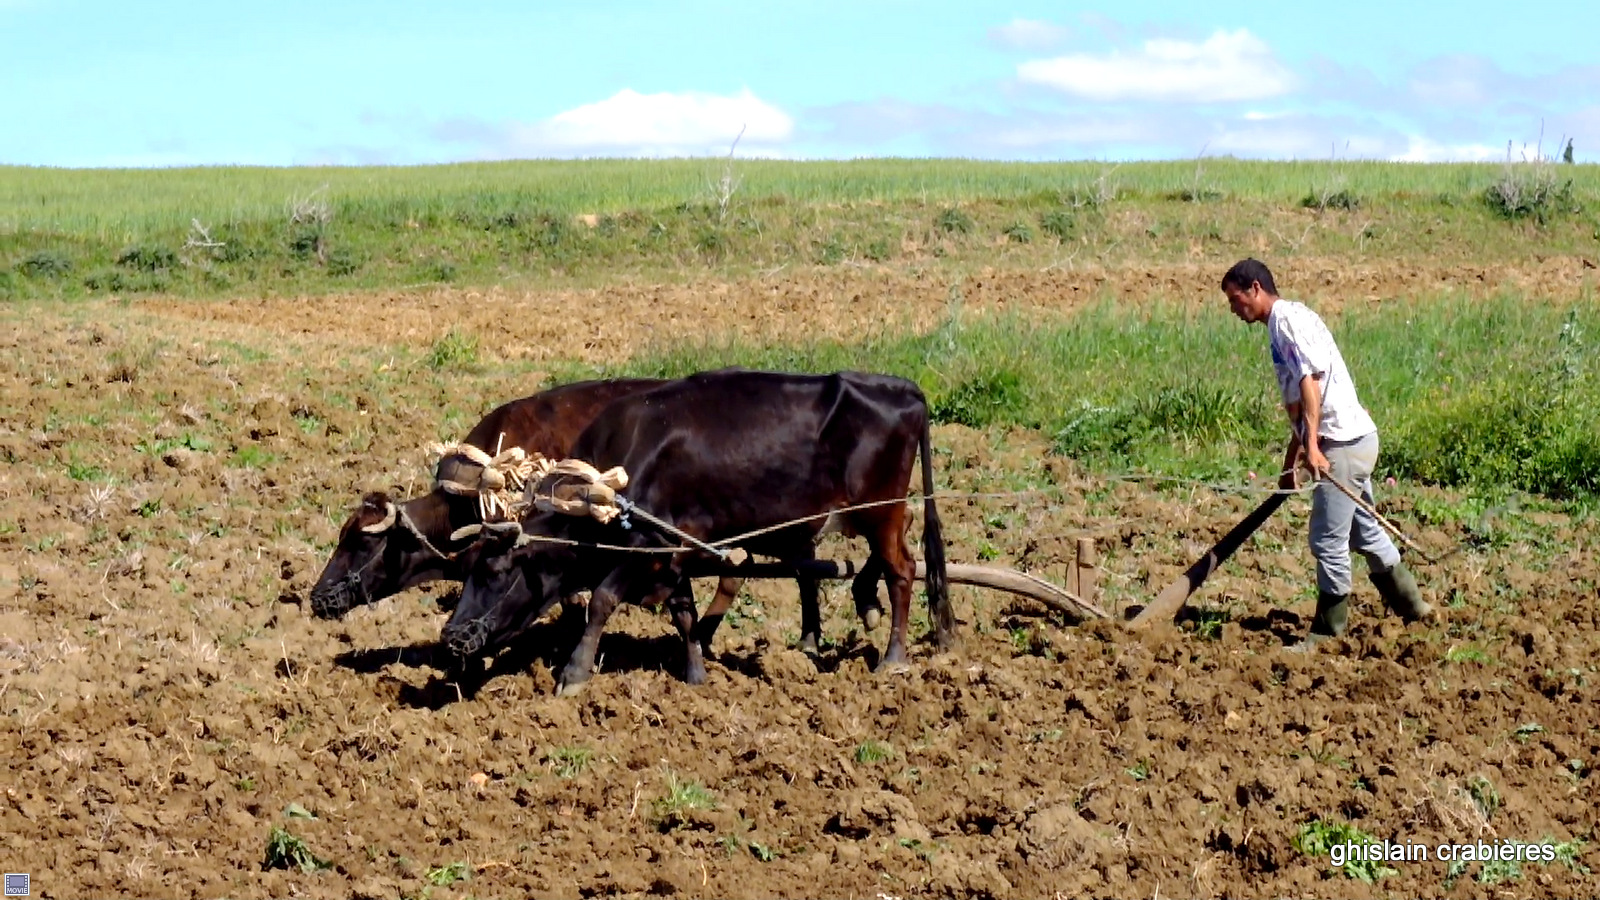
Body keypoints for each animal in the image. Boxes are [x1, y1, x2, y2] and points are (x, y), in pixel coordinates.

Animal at [438, 369, 954, 696]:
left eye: (496, 571)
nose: (451, 636)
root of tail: (902, 388)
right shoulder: (675, 553)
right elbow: (683, 613)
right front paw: (695, 672)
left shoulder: (645, 547)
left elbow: (602, 600)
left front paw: (575, 672)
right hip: (874, 515)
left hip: (881, 511)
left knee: (902, 569)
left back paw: (892, 655)